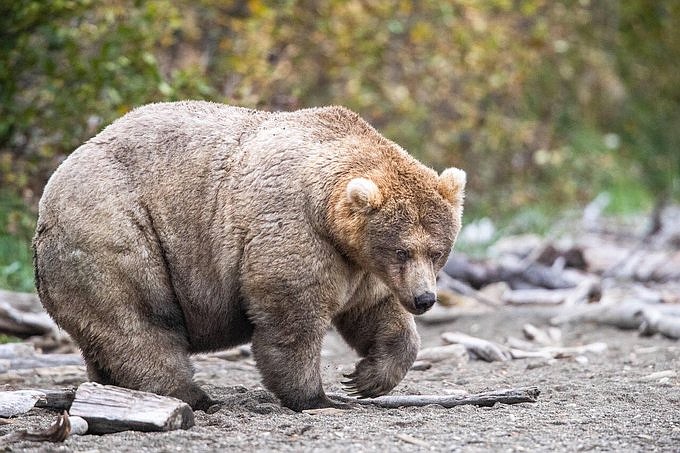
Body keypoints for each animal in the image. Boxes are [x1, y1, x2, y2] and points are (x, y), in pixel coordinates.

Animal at [33, 101, 466, 412]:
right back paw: (193, 396)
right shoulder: (295, 230)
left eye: (437, 251)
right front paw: (318, 397)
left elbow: (375, 312)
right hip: (115, 230)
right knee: (139, 320)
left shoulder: (361, 265)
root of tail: (49, 193)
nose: (424, 299)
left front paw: (365, 379)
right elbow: (292, 317)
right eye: (402, 249)